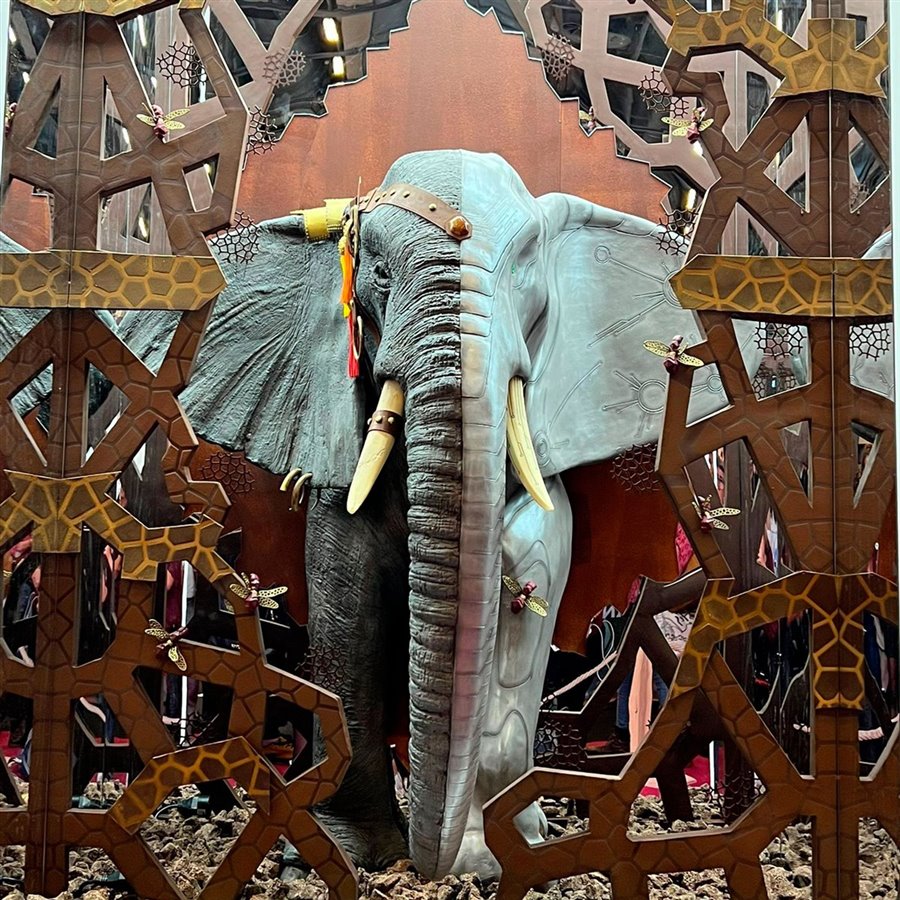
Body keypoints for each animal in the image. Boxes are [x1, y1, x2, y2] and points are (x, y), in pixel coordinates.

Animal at [118, 150, 772, 878]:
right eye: (378, 274)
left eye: (525, 276)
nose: (427, 867)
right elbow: (347, 597)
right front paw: (346, 855)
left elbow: (531, 552)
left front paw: (487, 860)